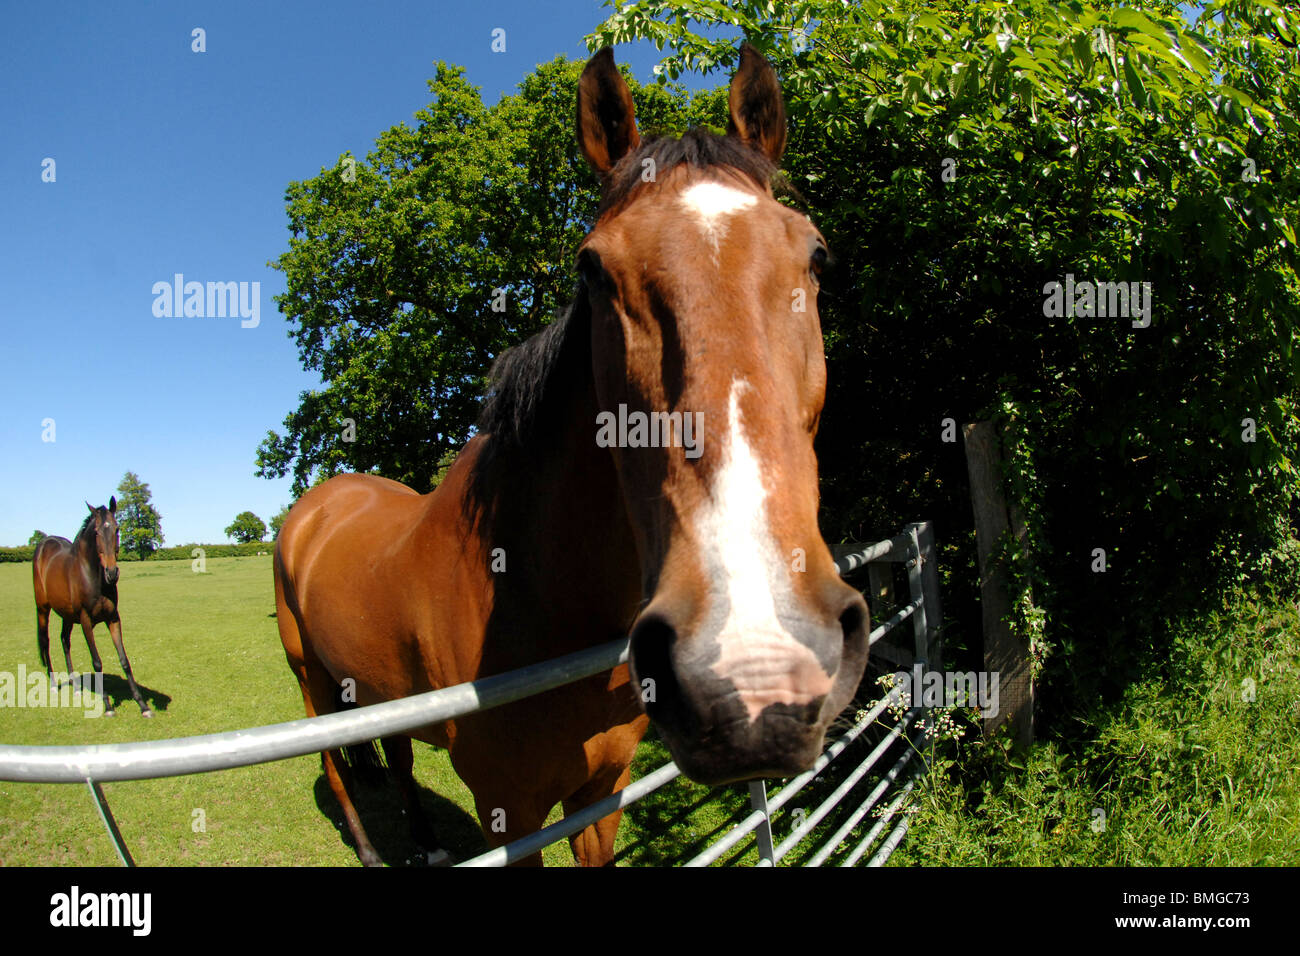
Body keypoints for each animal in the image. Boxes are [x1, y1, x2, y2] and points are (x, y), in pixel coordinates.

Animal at [33, 497, 152, 717]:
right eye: (96, 532)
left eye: (117, 528)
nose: (112, 573)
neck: (92, 576)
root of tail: (44, 544)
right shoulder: (86, 620)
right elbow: (97, 661)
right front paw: (108, 706)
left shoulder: (113, 618)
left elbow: (124, 660)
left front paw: (143, 706)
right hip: (43, 609)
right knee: (46, 641)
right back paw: (53, 684)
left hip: (67, 615)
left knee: (65, 641)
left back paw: (76, 687)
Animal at [273, 42, 870, 866]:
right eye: (593, 269)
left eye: (814, 256)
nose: (754, 667)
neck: (538, 593)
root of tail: (318, 503)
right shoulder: (511, 811)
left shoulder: (600, 792)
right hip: (311, 679)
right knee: (335, 760)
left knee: (393, 755)